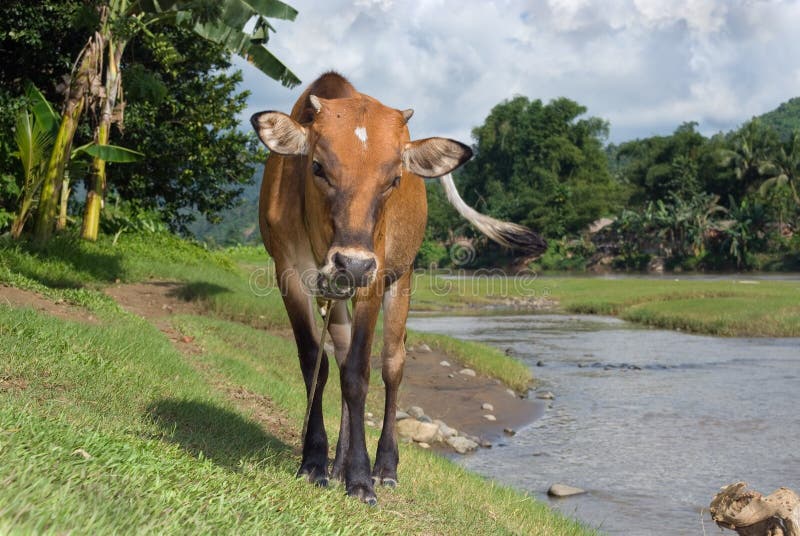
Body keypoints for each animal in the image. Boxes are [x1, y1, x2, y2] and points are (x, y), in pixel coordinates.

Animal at [251, 72, 545, 505]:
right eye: (317, 166)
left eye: (393, 179)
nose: (352, 263)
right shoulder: (288, 273)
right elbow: (315, 365)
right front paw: (315, 463)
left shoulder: (373, 281)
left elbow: (359, 374)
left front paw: (360, 479)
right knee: (341, 356)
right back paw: (337, 464)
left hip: (399, 279)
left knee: (391, 366)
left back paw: (385, 467)